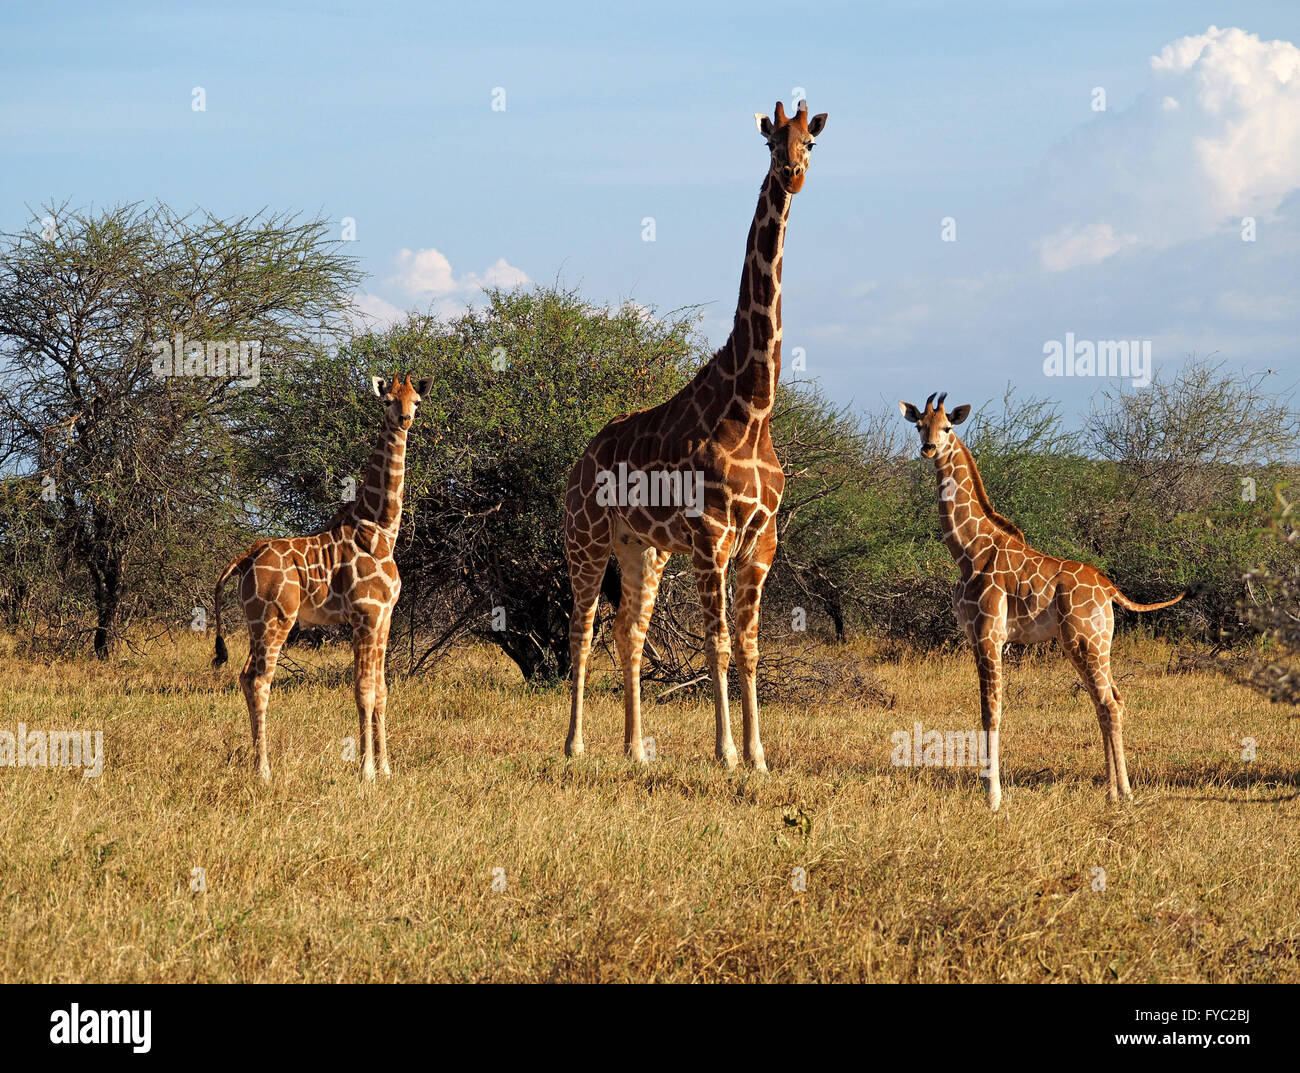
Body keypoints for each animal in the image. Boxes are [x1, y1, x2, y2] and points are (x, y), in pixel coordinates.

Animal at [212, 372, 430, 783]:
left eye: (416, 400)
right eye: (387, 400)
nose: (405, 419)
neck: (381, 529)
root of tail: (249, 556)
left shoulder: (385, 617)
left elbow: (382, 689)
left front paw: (386, 769)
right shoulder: (364, 615)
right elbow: (363, 689)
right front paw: (367, 772)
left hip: (255, 622)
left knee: (245, 677)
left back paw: (257, 763)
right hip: (276, 618)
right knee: (260, 681)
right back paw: (264, 771)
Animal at [563, 99, 828, 771]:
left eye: (810, 142)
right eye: (771, 142)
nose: (792, 175)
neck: (754, 409)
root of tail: (580, 460)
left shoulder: (761, 540)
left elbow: (750, 646)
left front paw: (759, 756)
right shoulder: (712, 534)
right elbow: (716, 644)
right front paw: (727, 753)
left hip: (644, 549)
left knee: (629, 633)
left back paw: (635, 750)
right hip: (586, 539)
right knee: (581, 632)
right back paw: (574, 745)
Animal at [899, 393, 1184, 809]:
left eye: (948, 427)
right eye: (920, 425)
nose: (929, 448)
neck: (968, 551)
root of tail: (1108, 588)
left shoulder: (990, 636)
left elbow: (991, 711)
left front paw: (993, 796)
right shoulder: (973, 638)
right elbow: (985, 709)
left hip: (1086, 641)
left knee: (1109, 702)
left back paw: (1125, 791)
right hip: (1087, 643)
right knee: (1107, 700)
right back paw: (1111, 790)